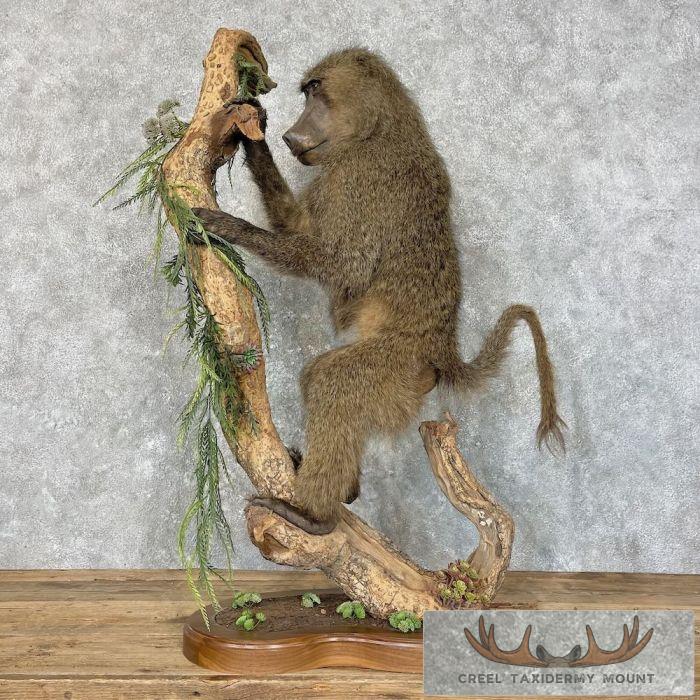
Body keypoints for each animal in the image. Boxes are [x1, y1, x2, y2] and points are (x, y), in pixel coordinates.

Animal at [193, 48, 566, 535]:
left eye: (316, 93)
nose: (292, 135)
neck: (379, 130)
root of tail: (442, 353)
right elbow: (298, 228)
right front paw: (253, 133)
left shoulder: (358, 178)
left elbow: (338, 266)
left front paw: (227, 227)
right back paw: (343, 492)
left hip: (396, 367)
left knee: (331, 380)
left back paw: (314, 516)